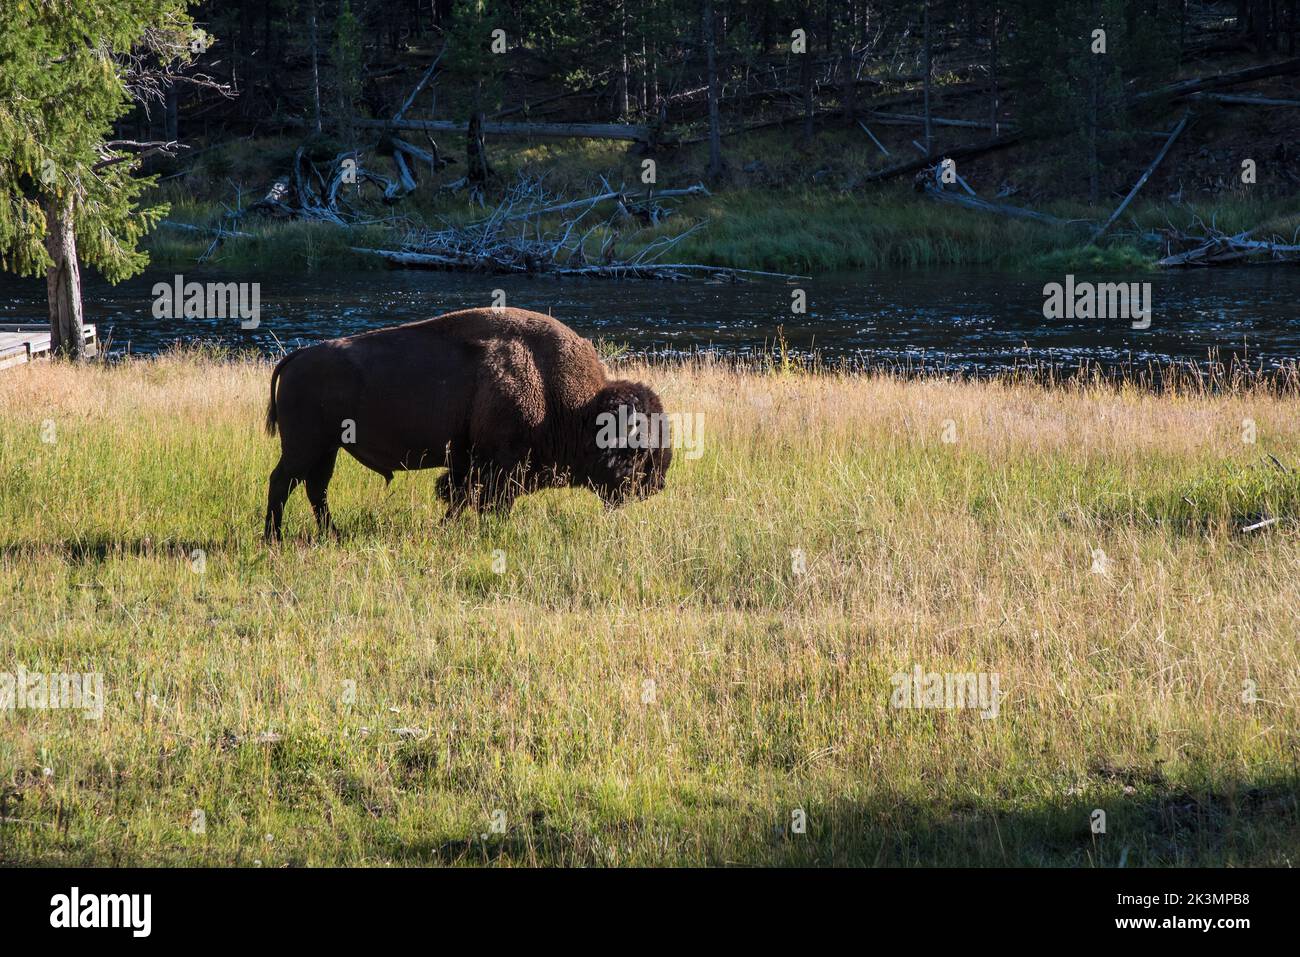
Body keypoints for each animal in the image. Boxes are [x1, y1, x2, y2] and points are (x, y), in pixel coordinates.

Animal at [263, 307, 671, 540]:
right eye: (639, 449)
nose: (656, 485)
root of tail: (297, 356)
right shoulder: (499, 464)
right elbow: (483, 501)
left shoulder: (471, 464)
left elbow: (460, 498)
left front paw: (446, 529)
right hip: (304, 446)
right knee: (283, 482)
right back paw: (274, 538)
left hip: (327, 448)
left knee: (316, 489)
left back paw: (331, 534)